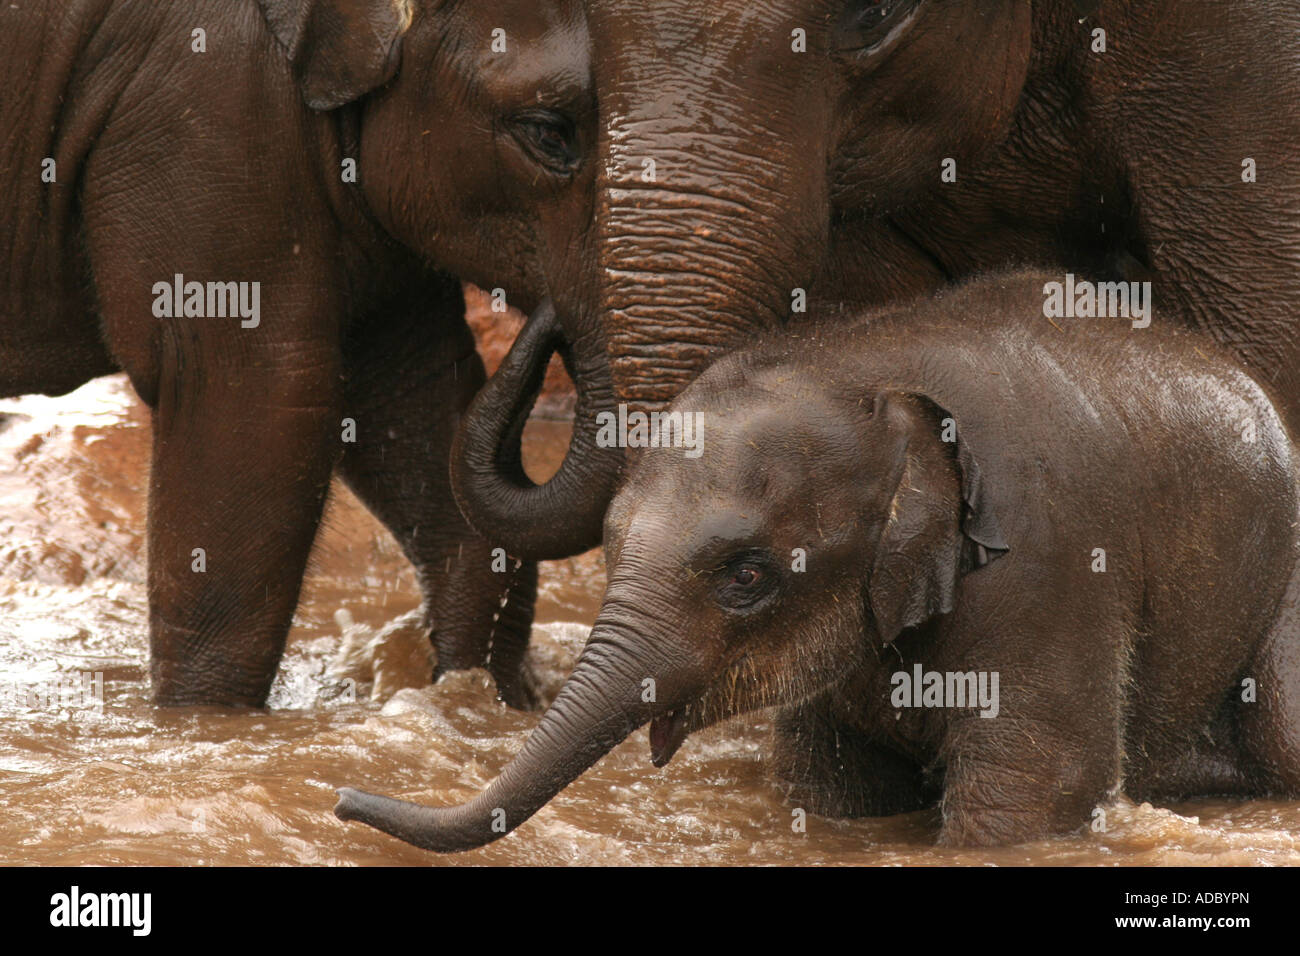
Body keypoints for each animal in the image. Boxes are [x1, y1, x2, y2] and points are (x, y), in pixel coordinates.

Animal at [0, 0, 594, 707]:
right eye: (549, 134)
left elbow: (412, 398)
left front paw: (481, 699)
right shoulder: (209, 110)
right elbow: (261, 407)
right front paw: (203, 722)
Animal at [335, 271, 1300, 850]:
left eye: (748, 575)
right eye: (609, 546)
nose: (343, 801)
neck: (865, 369)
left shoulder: (1048, 569)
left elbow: (1038, 791)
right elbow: (830, 790)